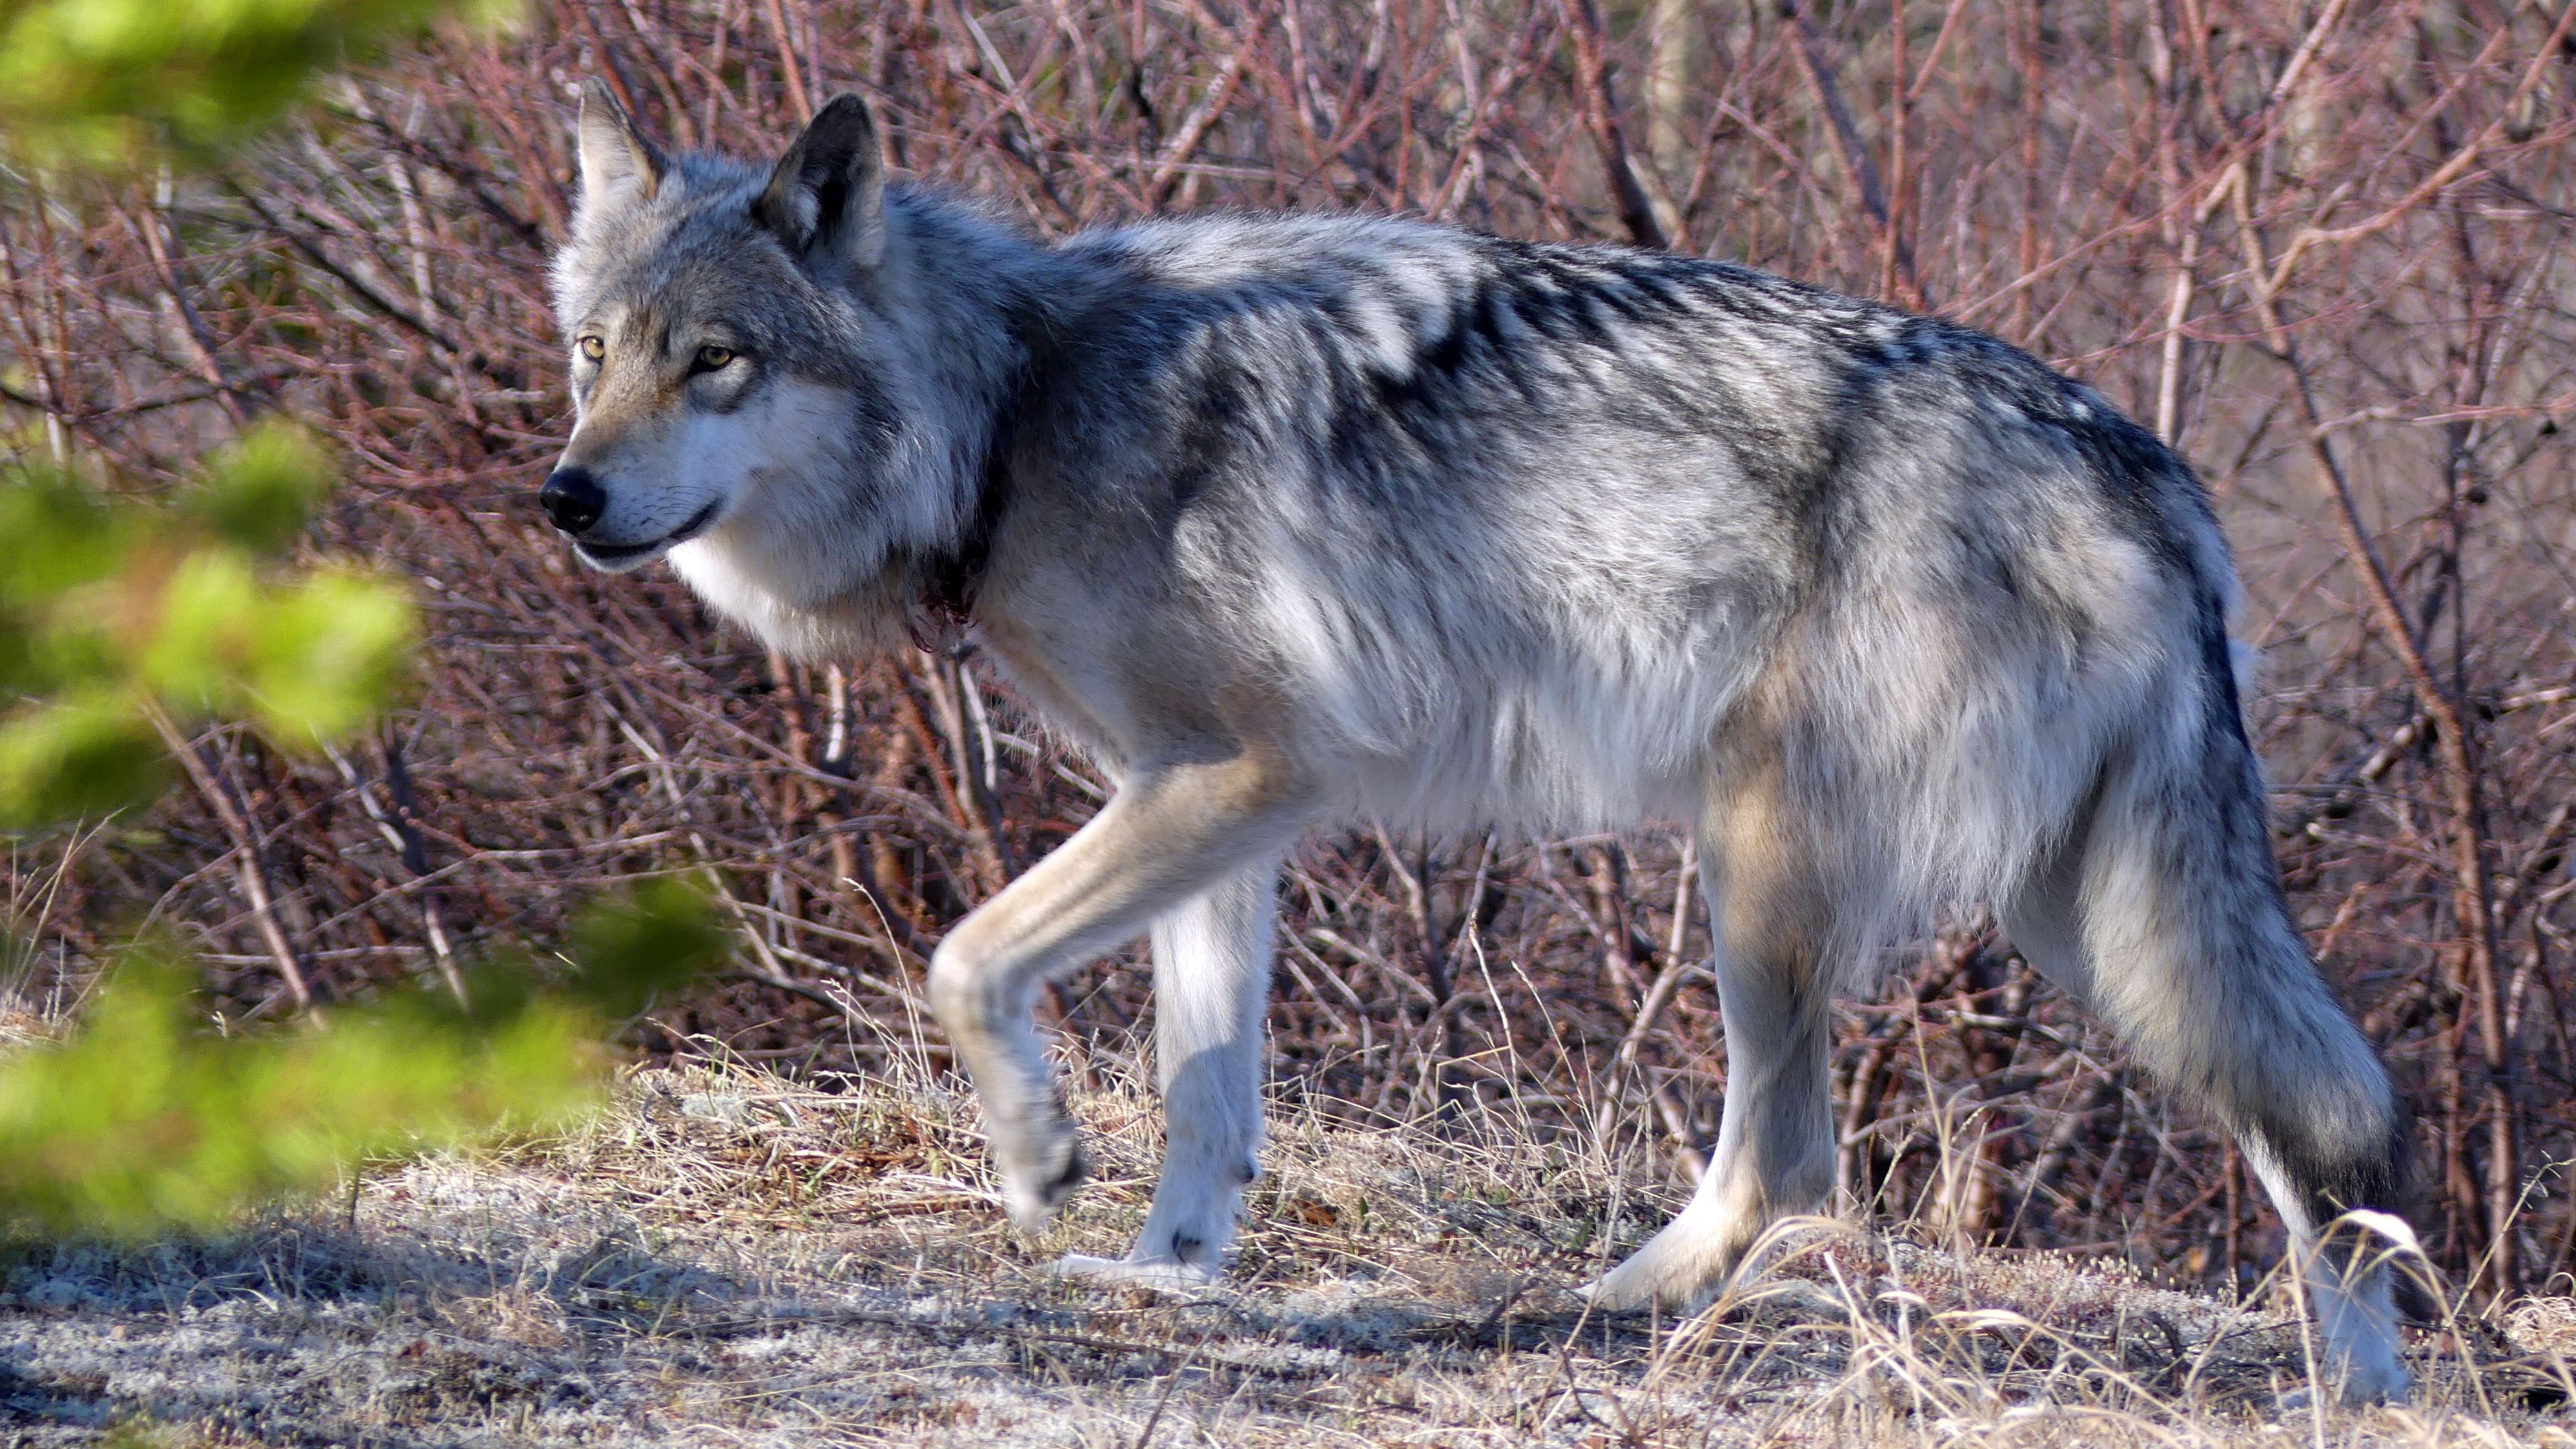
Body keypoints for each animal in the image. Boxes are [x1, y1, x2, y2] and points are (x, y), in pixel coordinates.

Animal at [542, 80, 2418, 1401]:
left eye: (717, 361)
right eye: (594, 351)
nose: (564, 494)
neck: (1011, 404)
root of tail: (2150, 472)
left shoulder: (1239, 777)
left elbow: (963, 957)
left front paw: (1035, 1157)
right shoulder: (1207, 799)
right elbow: (1205, 1088)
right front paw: (1163, 1275)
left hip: (1764, 873)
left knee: (1792, 1162)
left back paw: (1606, 1302)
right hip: (2084, 911)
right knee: (2314, 1119)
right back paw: (2366, 1381)